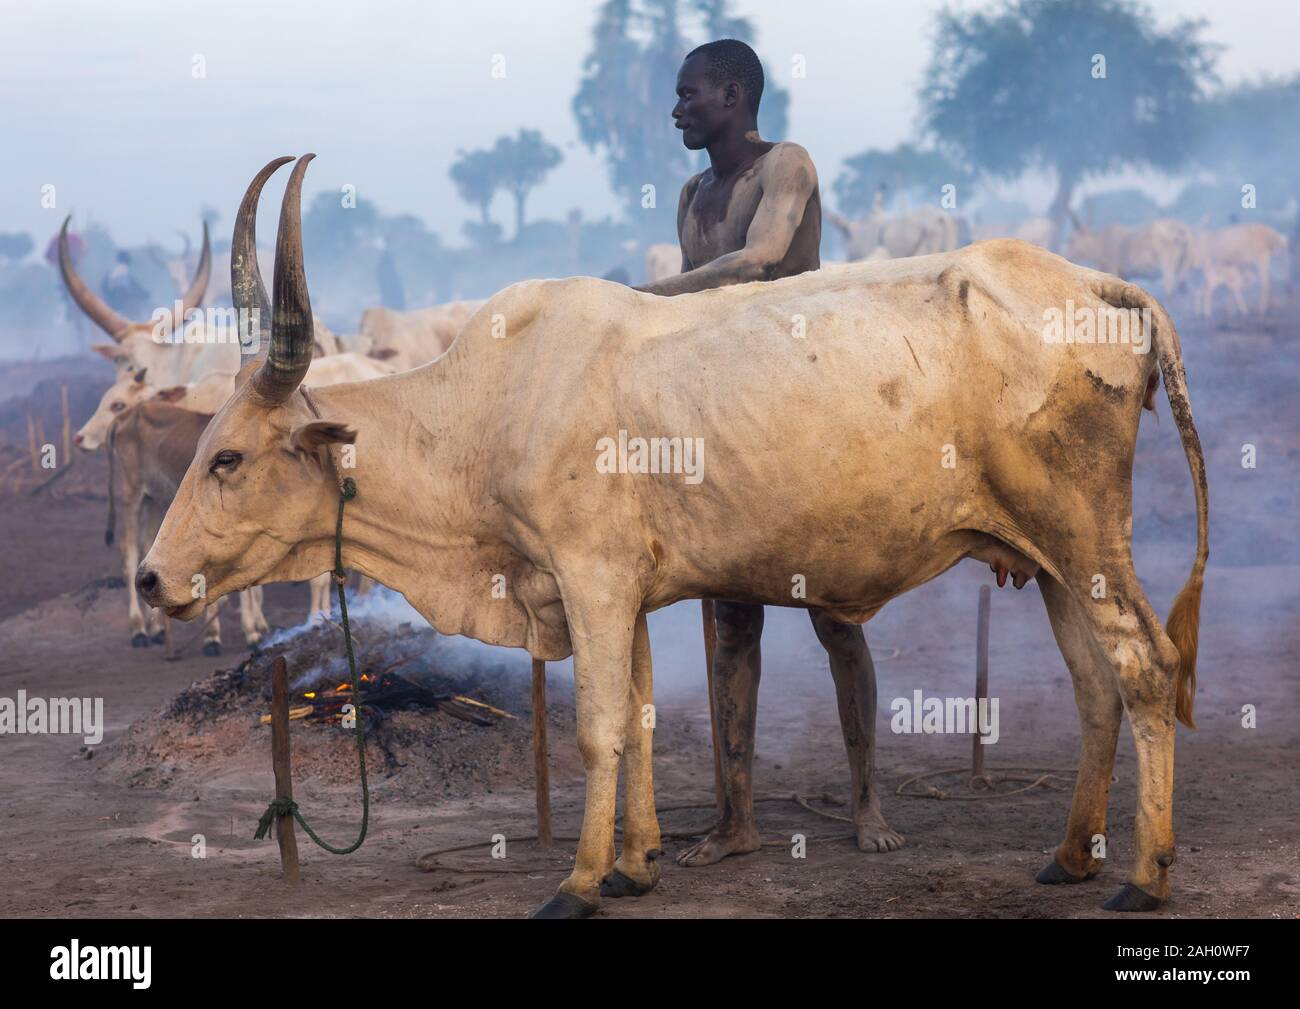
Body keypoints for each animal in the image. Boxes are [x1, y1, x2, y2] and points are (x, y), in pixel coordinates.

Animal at [140, 155, 1208, 919]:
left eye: (227, 456)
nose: (152, 581)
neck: (485, 411)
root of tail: (1098, 284)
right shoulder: (629, 594)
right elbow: (644, 718)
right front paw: (637, 862)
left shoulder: (591, 582)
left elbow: (597, 727)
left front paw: (576, 882)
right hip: (1053, 558)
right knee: (1096, 687)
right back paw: (1069, 857)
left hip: (1084, 538)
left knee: (1147, 667)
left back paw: (1142, 875)